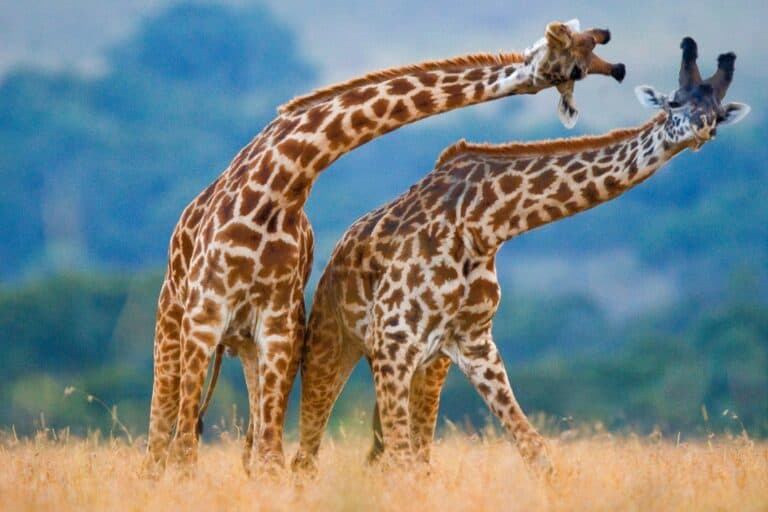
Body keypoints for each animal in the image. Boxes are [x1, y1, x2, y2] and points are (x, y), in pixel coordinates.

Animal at [140, 18, 626, 478]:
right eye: (577, 63)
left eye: (595, 52)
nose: (619, 69)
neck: (280, 186)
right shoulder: (205, 315)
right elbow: (184, 450)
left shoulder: (277, 327)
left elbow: (269, 456)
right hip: (174, 322)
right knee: (162, 438)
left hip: (247, 344)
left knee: (247, 444)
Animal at [292, 37, 750, 475]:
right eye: (674, 103)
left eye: (717, 114)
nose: (700, 130)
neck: (485, 225)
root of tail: (335, 257)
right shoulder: (394, 340)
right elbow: (403, 461)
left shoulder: (473, 343)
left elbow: (535, 451)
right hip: (334, 344)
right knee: (309, 454)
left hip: (426, 364)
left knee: (392, 454)